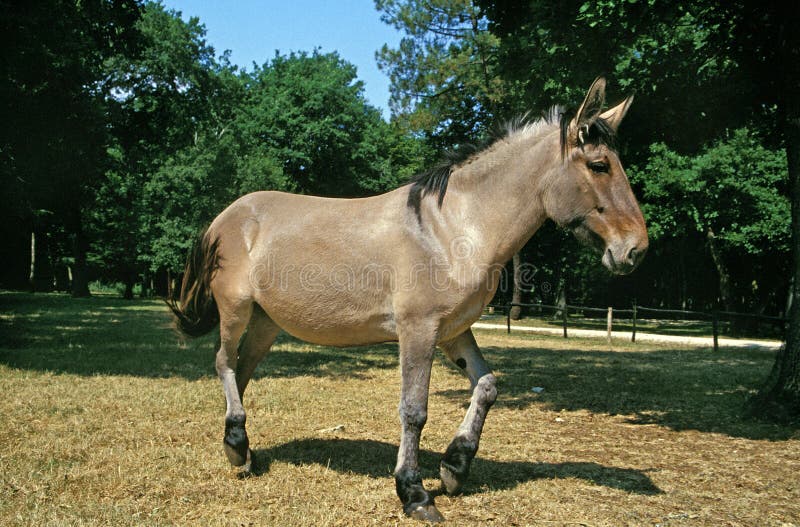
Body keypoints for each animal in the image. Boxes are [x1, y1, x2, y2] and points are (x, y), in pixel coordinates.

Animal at [167, 77, 648, 522]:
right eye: (600, 165)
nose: (636, 250)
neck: (452, 228)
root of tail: (226, 216)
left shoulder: (454, 331)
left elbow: (487, 386)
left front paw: (455, 467)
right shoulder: (419, 330)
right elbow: (414, 410)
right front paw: (414, 493)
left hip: (267, 322)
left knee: (242, 371)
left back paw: (242, 451)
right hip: (236, 311)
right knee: (224, 363)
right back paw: (236, 443)